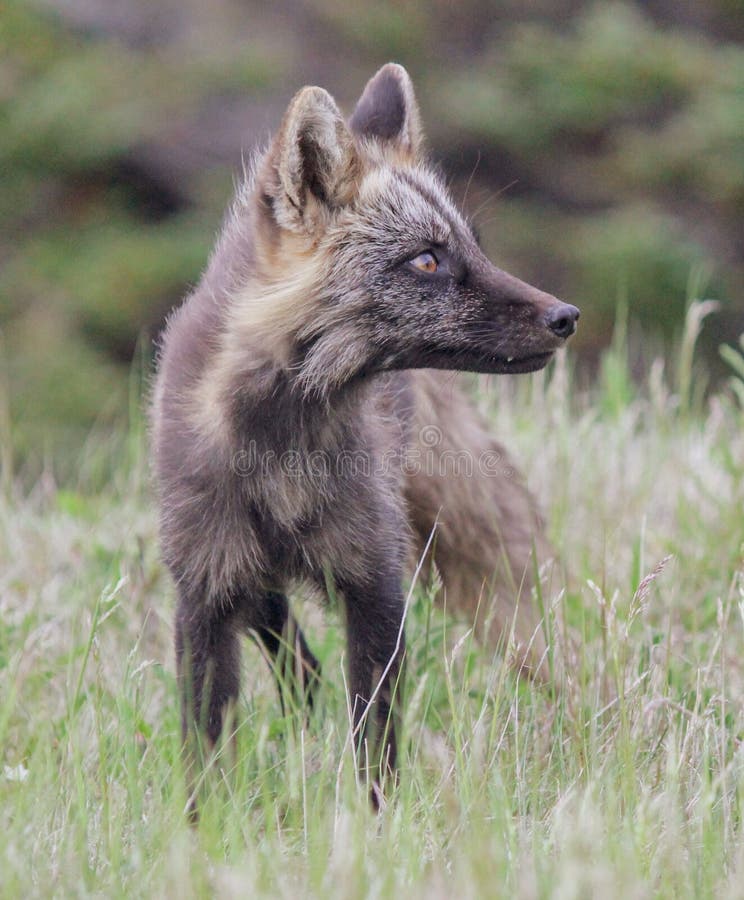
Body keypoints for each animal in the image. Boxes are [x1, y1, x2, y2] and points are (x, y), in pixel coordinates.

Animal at [151, 63, 579, 807]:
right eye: (427, 261)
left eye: (472, 247)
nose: (566, 317)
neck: (284, 459)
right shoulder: (204, 590)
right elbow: (206, 756)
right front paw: (209, 830)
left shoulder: (376, 584)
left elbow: (376, 747)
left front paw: (378, 825)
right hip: (255, 587)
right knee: (298, 666)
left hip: (501, 578)